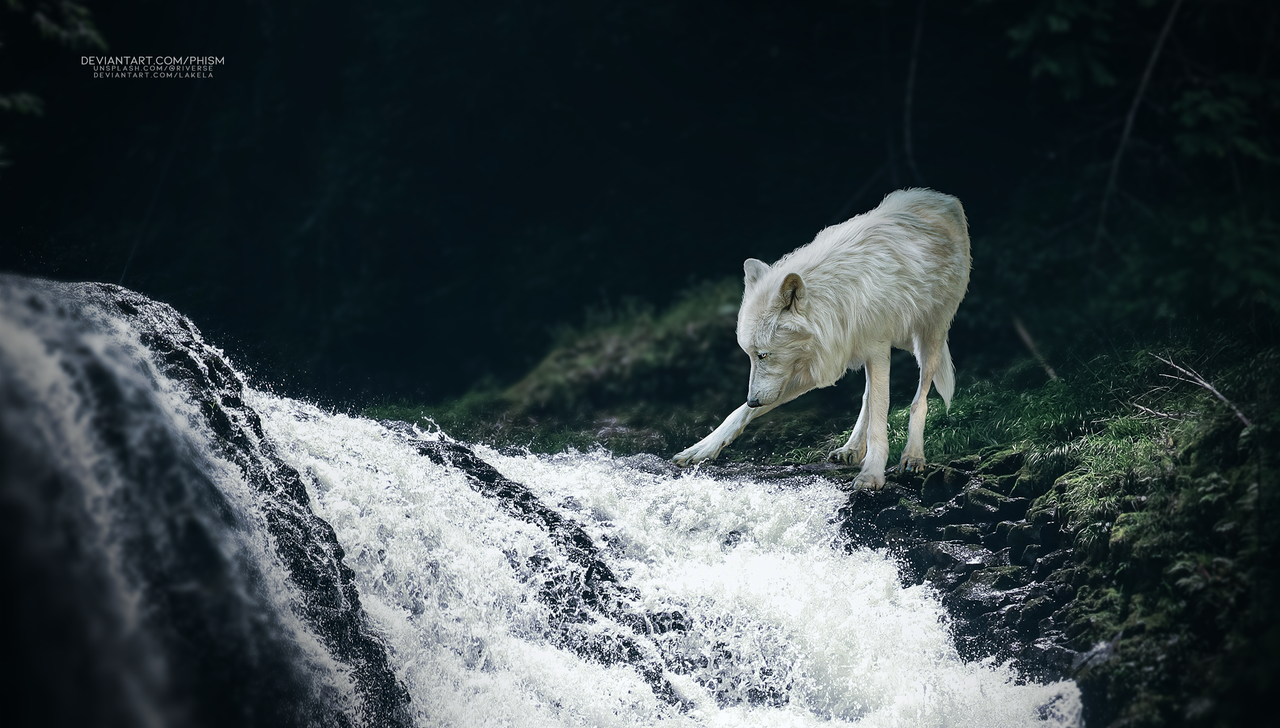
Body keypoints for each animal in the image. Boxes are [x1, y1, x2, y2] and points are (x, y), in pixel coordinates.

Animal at [672, 188, 971, 489]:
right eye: (750, 356)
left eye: (763, 354)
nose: (753, 399)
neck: (836, 300)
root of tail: (942, 197)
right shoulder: (821, 362)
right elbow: (738, 412)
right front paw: (701, 449)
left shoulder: (874, 349)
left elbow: (881, 416)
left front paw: (872, 475)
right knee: (867, 398)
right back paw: (852, 448)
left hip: (930, 337)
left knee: (918, 397)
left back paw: (913, 455)